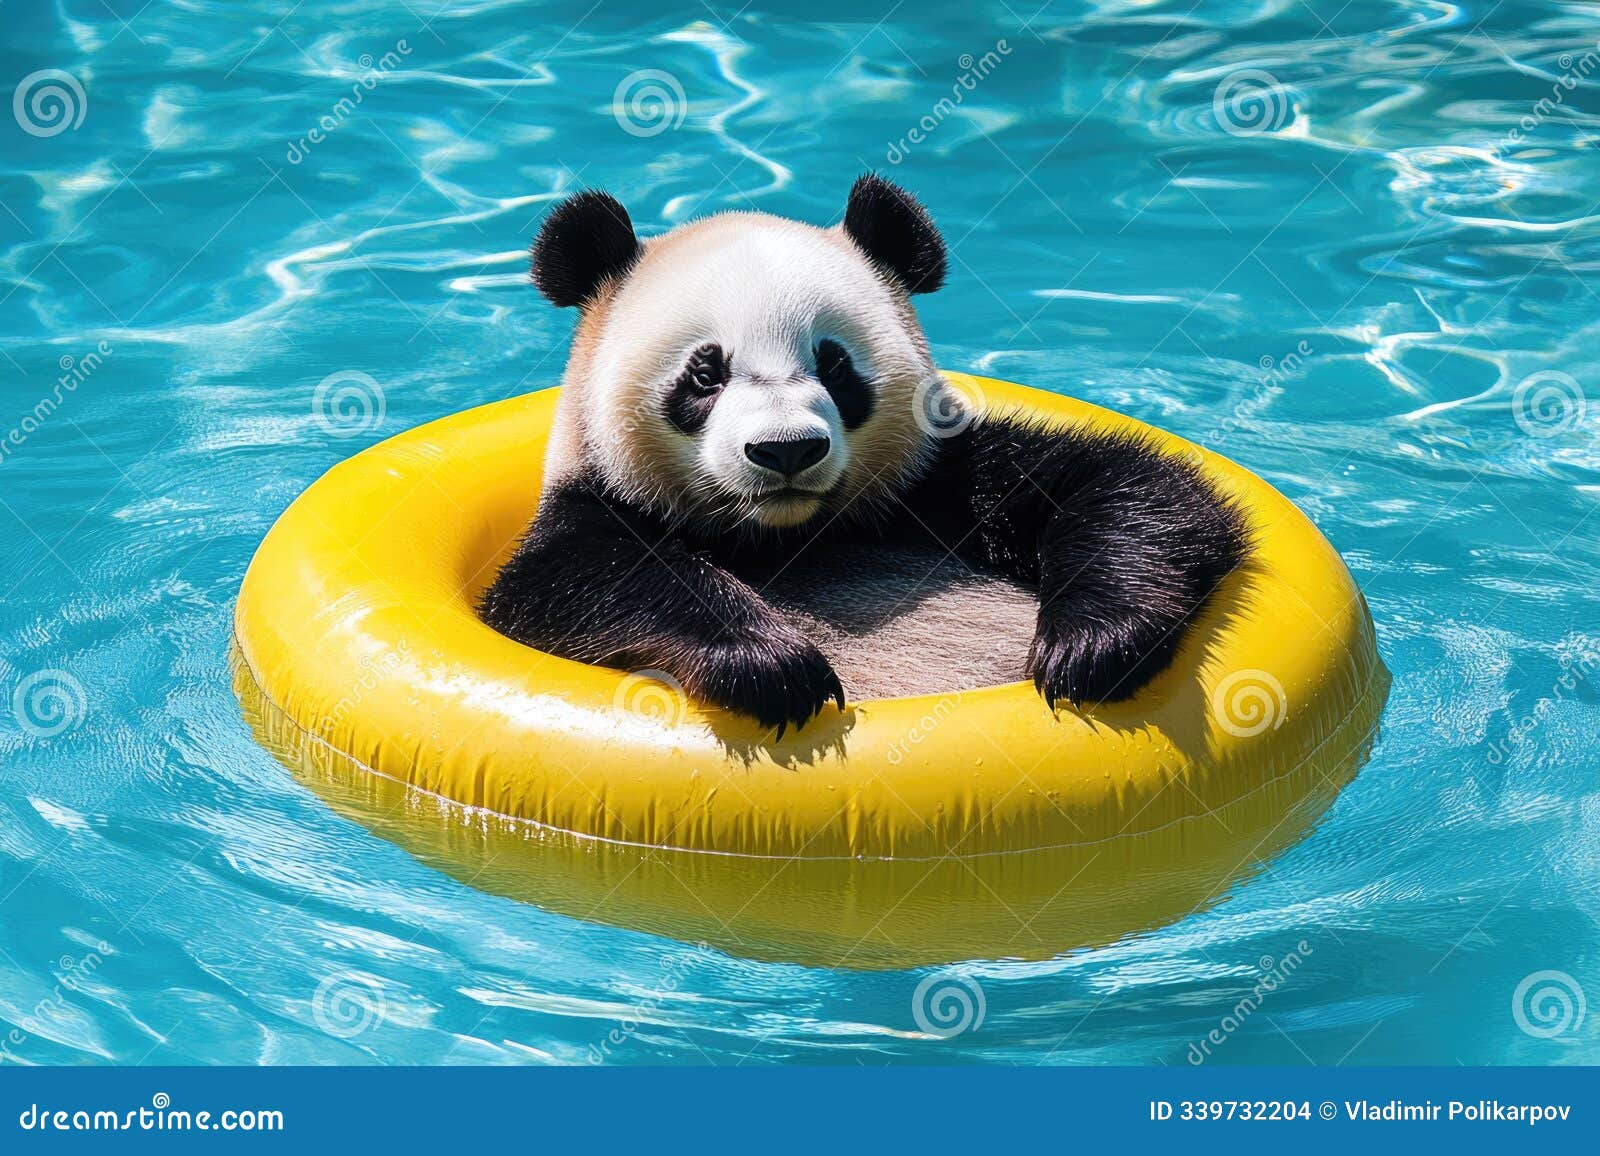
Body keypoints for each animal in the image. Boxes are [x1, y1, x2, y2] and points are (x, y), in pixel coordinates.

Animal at [481, 175, 1247, 735]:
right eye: (705, 373)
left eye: (835, 364)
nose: (786, 450)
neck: (784, 539)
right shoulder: (589, 514)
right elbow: (582, 584)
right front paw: (770, 665)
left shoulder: (932, 484)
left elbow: (1132, 489)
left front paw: (1091, 644)